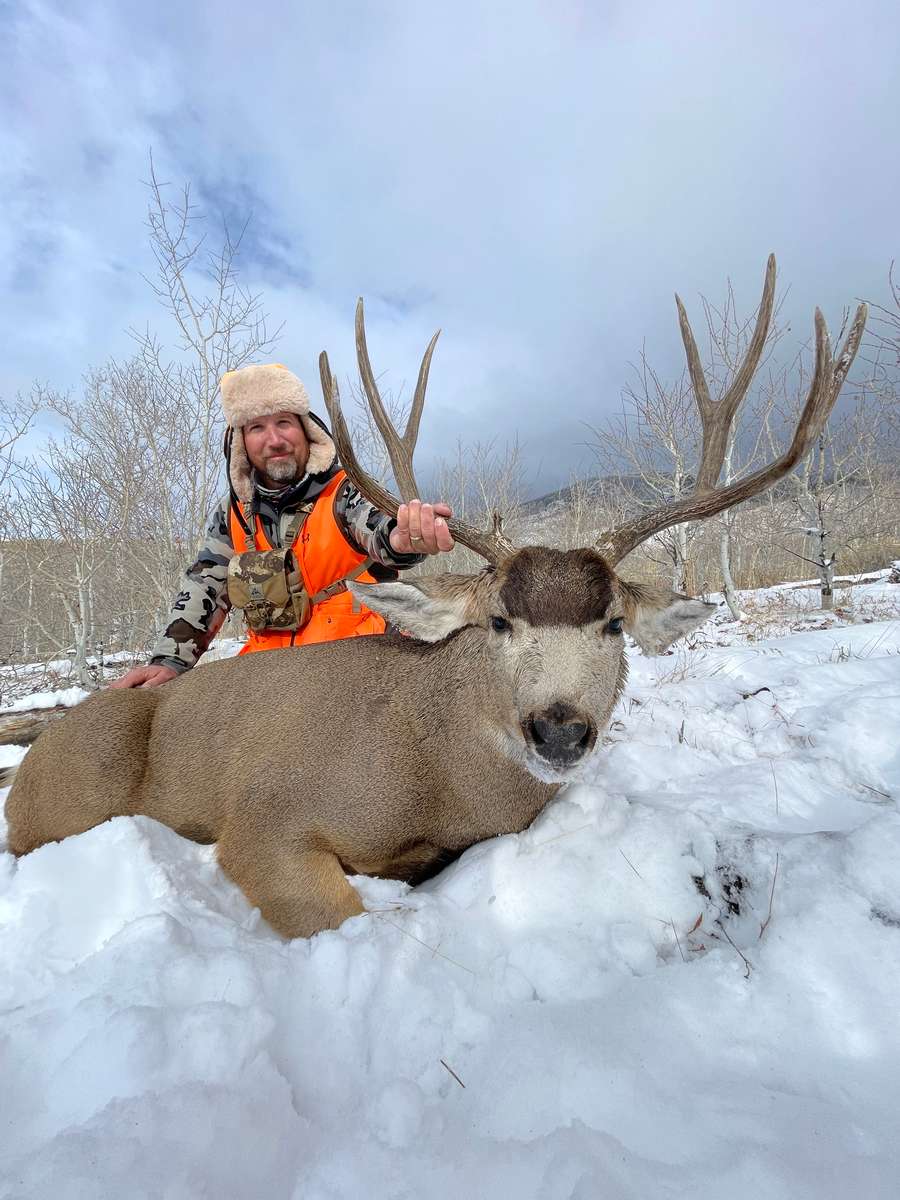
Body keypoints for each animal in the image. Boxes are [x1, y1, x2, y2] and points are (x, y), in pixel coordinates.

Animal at [1, 257, 866, 939]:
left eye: (614, 623)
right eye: (498, 620)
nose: (559, 730)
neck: (435, 776)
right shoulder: (263, 819)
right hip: (75, 794)